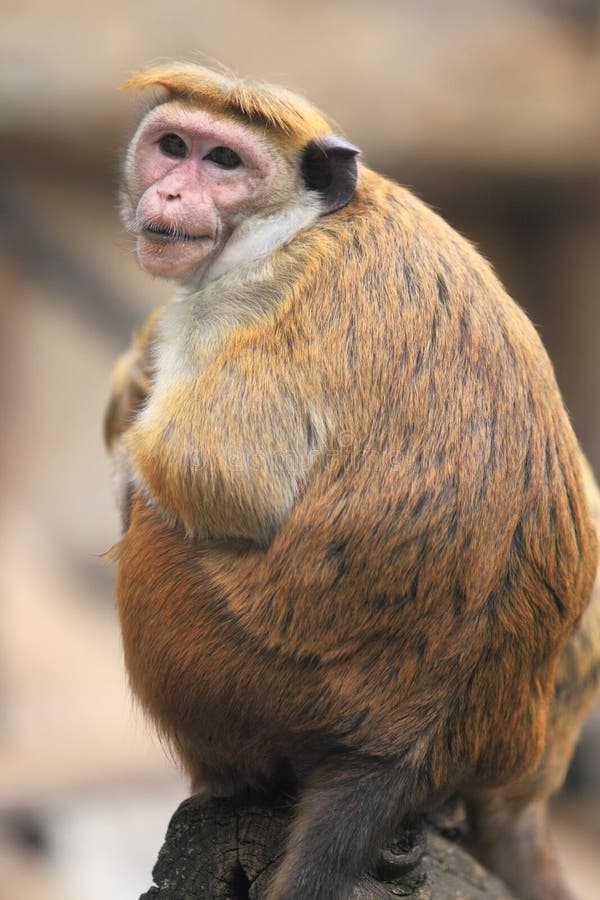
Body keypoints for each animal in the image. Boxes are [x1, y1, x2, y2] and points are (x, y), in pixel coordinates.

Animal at [105, 62, 600, 900]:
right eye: (173, 147)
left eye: (224, 162)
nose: (170, 192)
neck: (303, 220)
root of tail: (410, 749)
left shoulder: (243, 303)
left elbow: (209, 474)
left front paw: (136, 391)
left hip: (236, 671)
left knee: (154, 520)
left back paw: (228, 780)